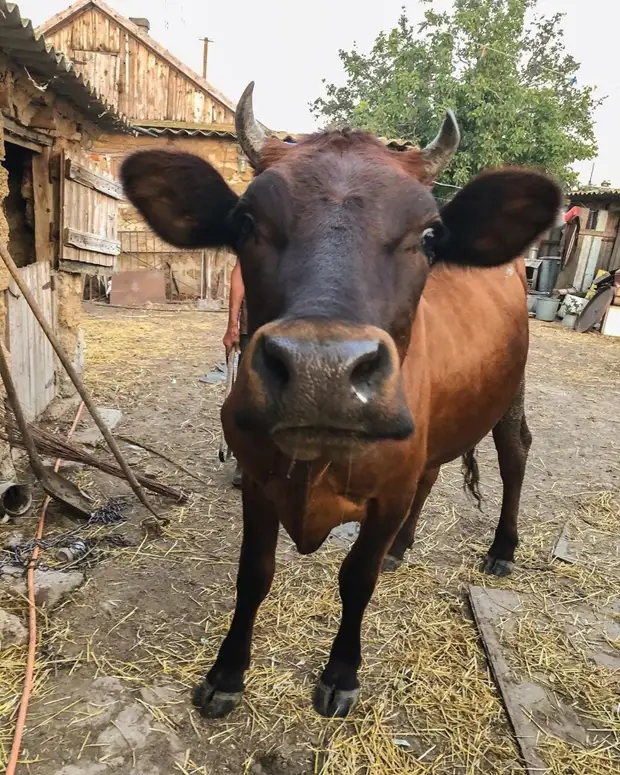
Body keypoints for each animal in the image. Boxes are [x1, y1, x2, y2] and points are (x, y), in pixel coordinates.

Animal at [121, 82, 560, 720]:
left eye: (430, 235)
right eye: (245, 221)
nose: (320, 373)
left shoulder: (385, 496)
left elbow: (357, 579)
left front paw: (341, 673)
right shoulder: (257, 480)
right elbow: (253, 573)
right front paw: (227, 673)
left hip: (512, 392)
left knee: (515, 454)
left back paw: (502, 548)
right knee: (433, 474)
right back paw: (404, 547)